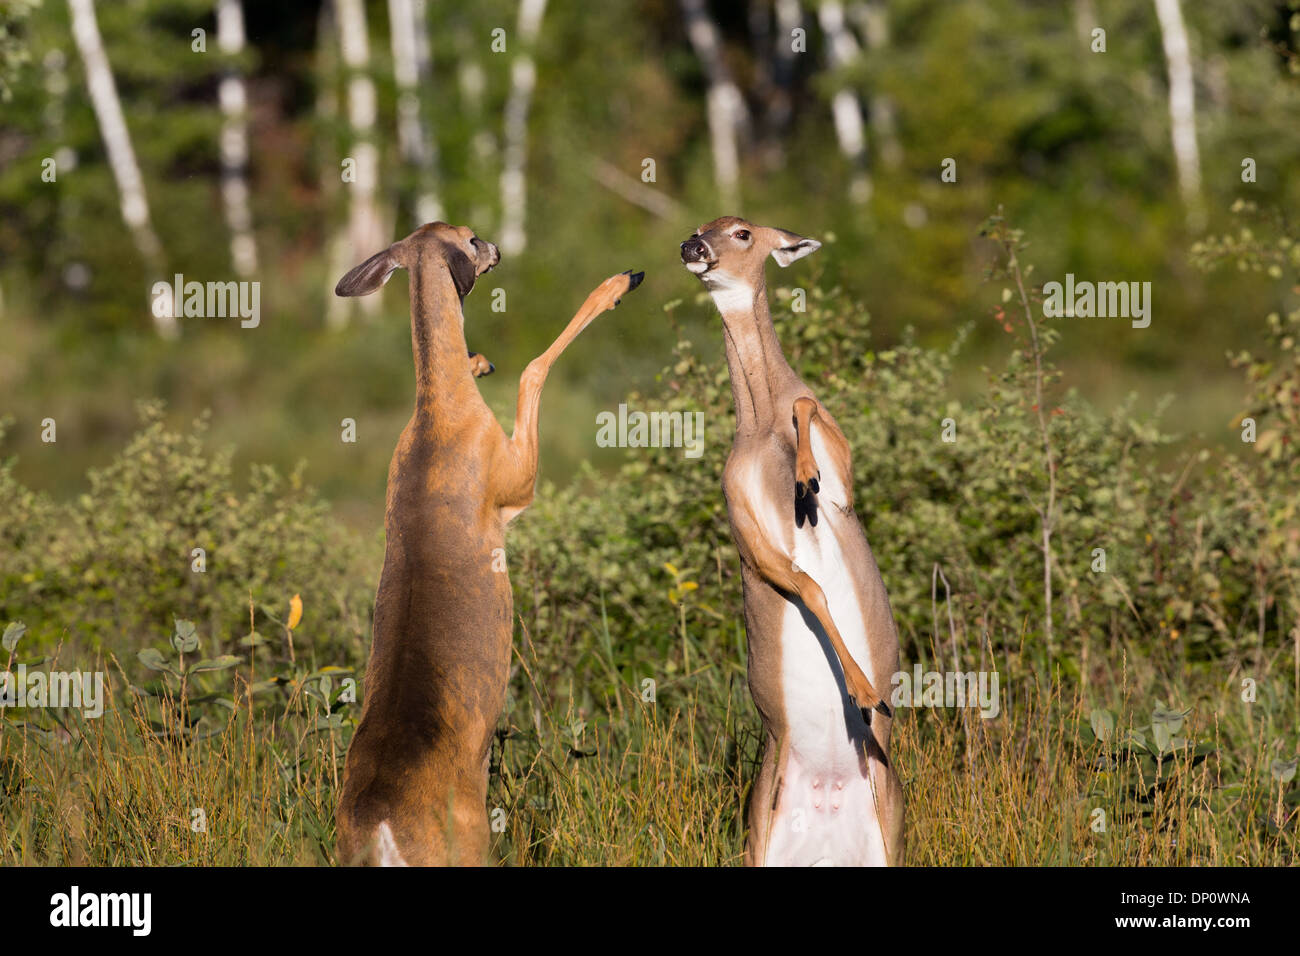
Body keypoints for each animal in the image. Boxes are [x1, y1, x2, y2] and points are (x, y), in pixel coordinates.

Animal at [333, 221, 643, 865]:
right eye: (471, 238)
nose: (498, 248)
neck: (437, 413)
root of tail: (379, 827)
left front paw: (480, 360)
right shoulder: (513, 482)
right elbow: (532, 369)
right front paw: (620, 282)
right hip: (470, 841)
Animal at [680, 216, 904, 866]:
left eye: (741, 231)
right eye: (699, 225)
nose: (691, 247)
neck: (760, 428)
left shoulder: (846, 485)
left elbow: (807, 402)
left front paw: (805, 477)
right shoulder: (745, 526)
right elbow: (809, 584)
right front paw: (864, 692)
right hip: (758, 825)